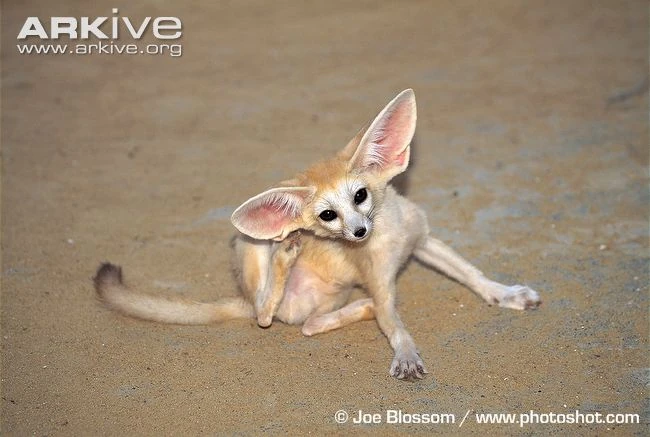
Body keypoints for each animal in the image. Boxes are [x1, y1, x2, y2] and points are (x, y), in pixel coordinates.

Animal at [94, 89, 541, 380]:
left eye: (361, 195)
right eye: (328, 216)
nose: (359, 232)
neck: (388, 239)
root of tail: (239, 298)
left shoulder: (423, 241)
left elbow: (472, 274)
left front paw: (505, 293)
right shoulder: (381, 283)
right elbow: (396, 326)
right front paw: (406, 354)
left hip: (329, 298)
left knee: (308, 325)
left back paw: (358, 308)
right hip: (249, 246)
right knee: (264, 313)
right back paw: (286, 256)